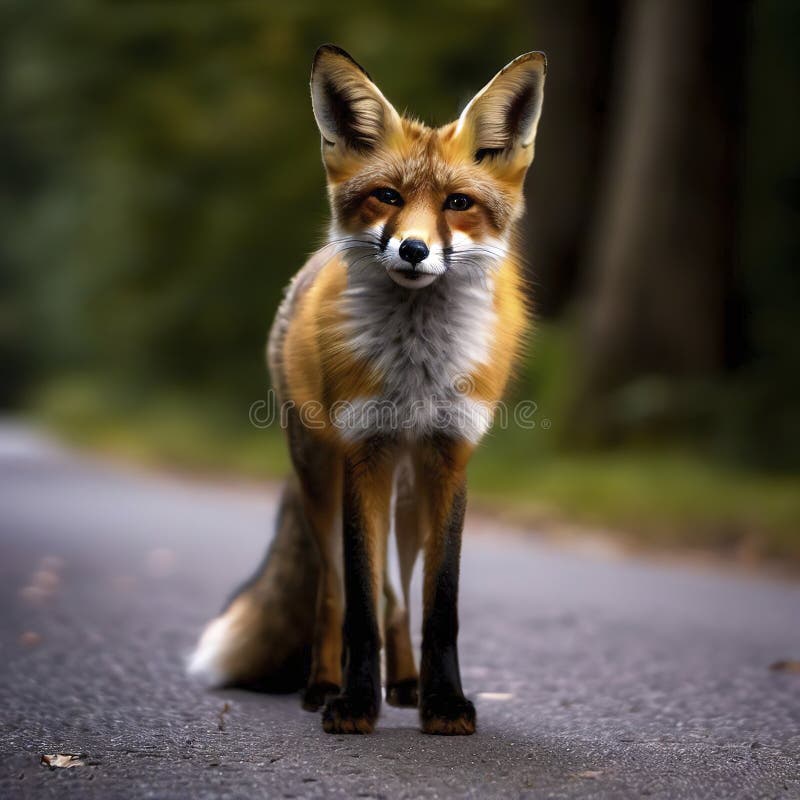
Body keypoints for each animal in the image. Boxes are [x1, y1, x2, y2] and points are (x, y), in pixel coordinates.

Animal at [189, 44, 546, 735]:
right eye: (387, 196)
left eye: (458, 203)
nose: (414, 249)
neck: (416, 367)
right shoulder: (364, 454)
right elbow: (357, 602)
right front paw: (354, 703)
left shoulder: (448, 458)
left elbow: (438, 606)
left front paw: (443, 703)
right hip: (321, 477)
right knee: (336, 592)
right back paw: (324, 685)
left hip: (407, 499)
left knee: (398, 598)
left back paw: (404, 684)